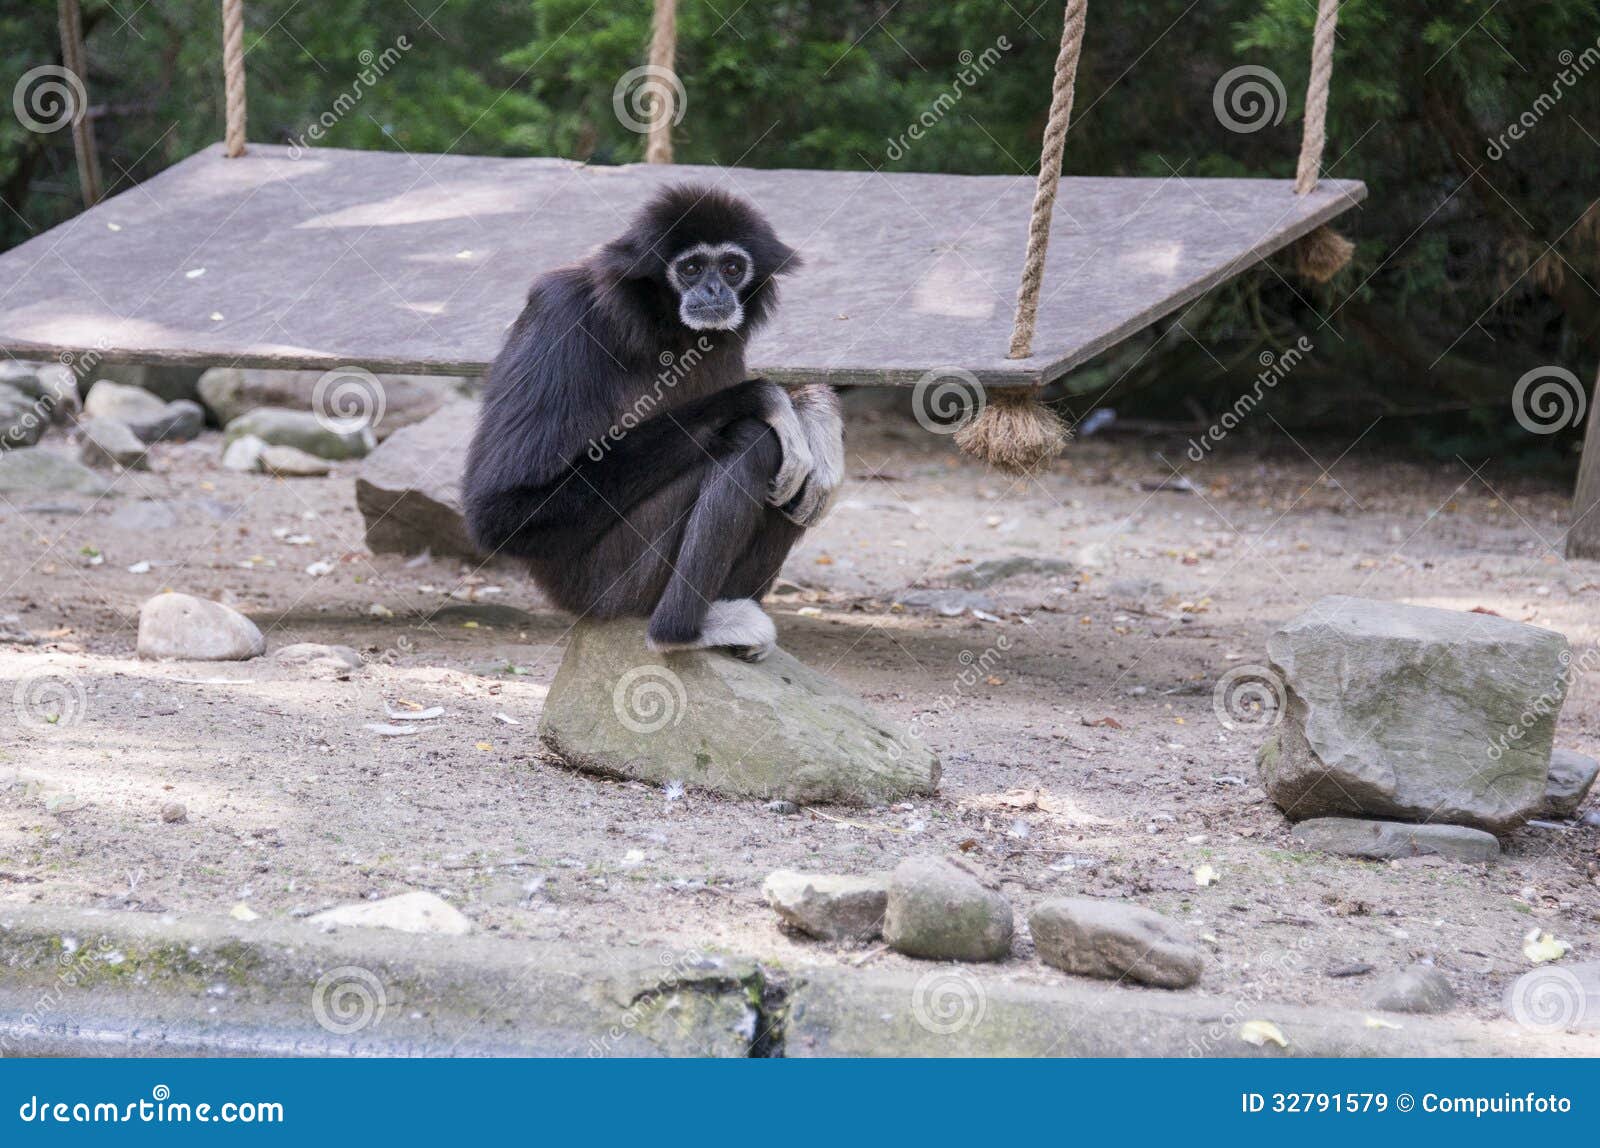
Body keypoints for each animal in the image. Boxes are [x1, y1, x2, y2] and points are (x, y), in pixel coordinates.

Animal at [462, 184, 844, 662]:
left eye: (732, 267)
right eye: (692, 268)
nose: (715, 288)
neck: (658, 322)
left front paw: (816, 417)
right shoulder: (559, 312)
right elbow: (501, 510)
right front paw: (764, 397)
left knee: (797, 478)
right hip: (610, 583)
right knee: (754, 440)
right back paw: (679, 632)